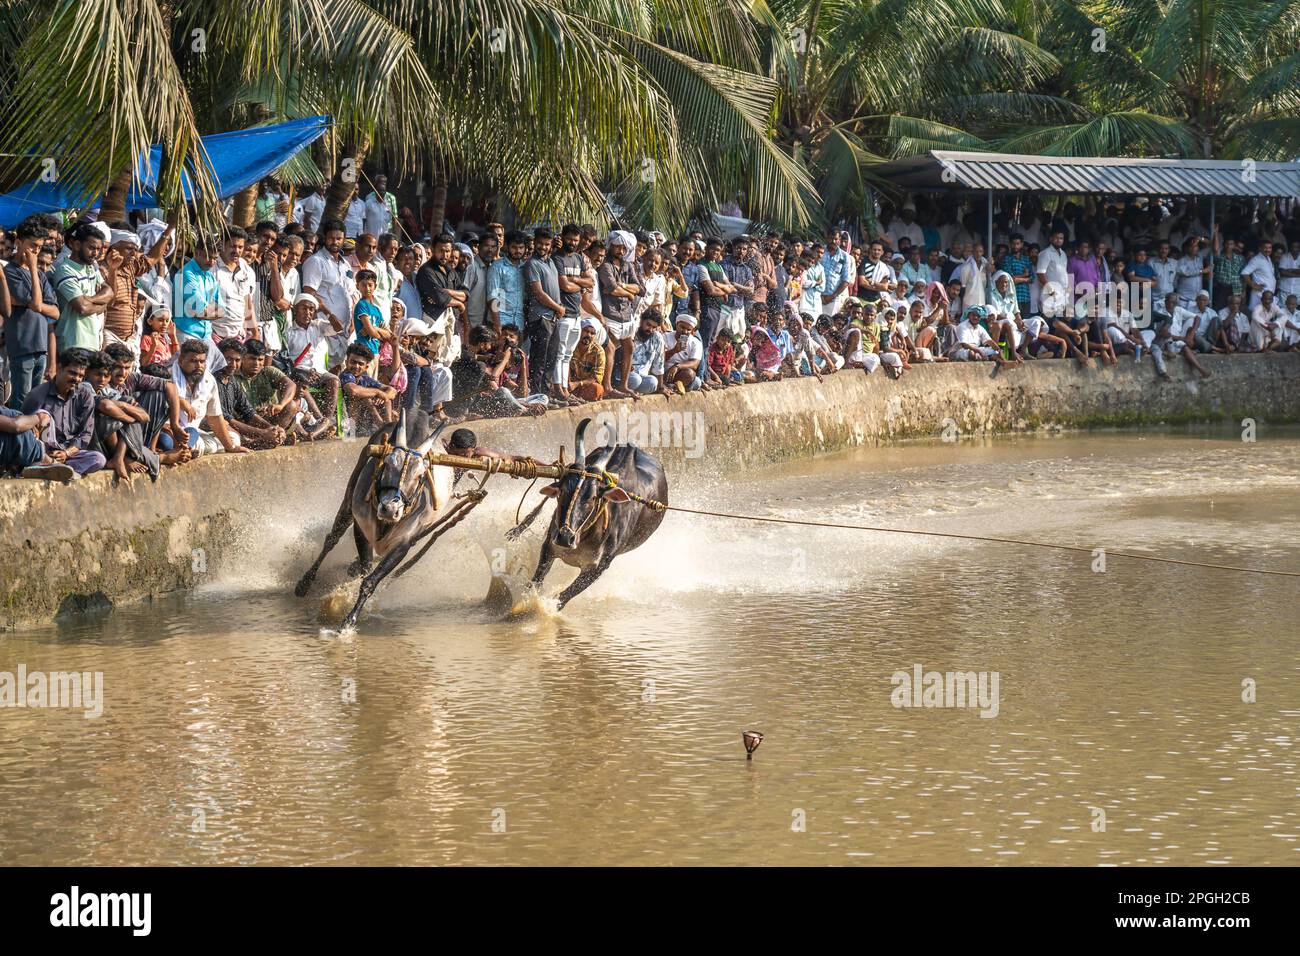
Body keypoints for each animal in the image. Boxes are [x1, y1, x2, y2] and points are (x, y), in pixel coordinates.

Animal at [295, 408, 458, 628]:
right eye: (386, 463)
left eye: (420, 475)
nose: (389, 508)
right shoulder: (361, 525)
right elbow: (365, 566)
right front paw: (344, 605)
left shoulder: (403, 544)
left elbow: (371, 580)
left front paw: (349, 619)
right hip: (349, 497)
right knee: (332, 539)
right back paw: (305, 583)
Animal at [525, 418, 668, 609]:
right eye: (562, 490)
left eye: (593, 497)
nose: (565, 537)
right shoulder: (549, 546)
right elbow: (535, 583)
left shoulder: (598, 568)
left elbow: (562, 598)